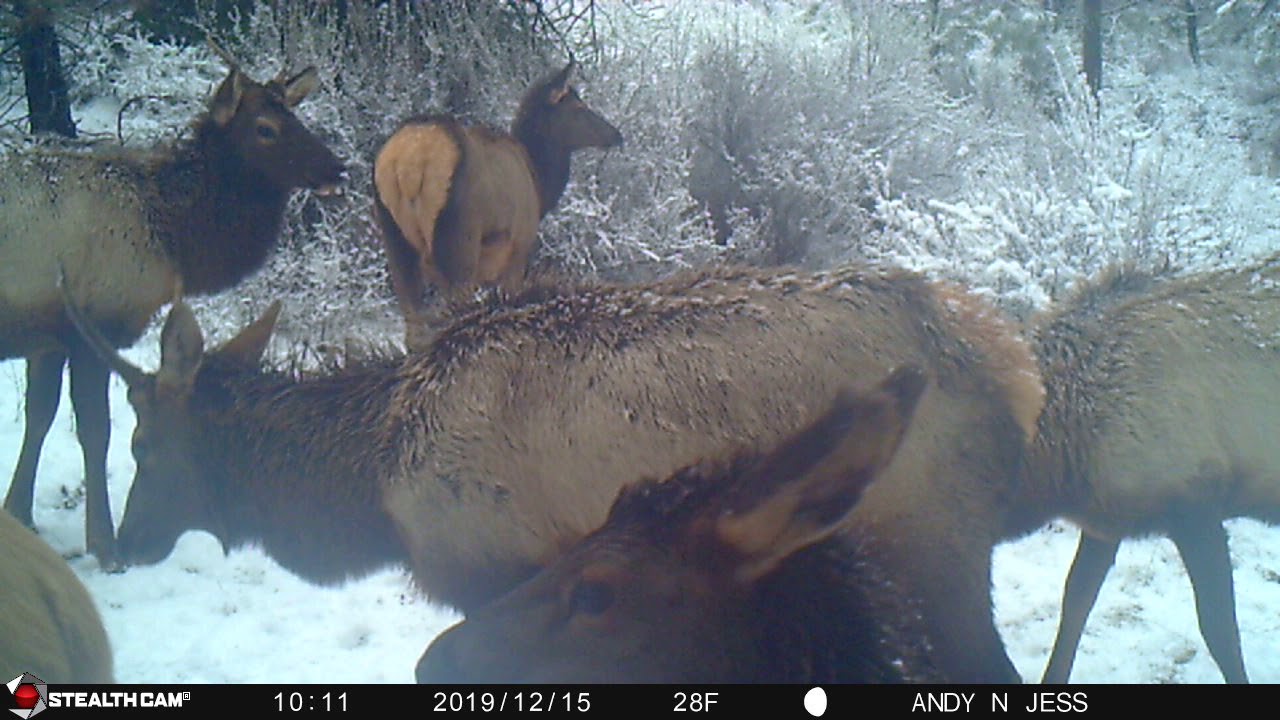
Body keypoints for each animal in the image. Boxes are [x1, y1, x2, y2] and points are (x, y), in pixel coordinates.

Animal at [1, 45, 345, 570]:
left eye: (296, 115)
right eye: (265, 128)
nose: (336, 167)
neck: (173, 238)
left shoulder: (48, 334)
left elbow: (39, 414)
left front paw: (19, 514)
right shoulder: (92, 322)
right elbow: (95, 432)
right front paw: (106, 548)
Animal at [372, 61, 623, 349]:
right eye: (579, 107)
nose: (617, 135)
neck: (540, 185)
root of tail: (409, 164)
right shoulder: (517, 254)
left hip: (394, 239)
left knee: (413, 329)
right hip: (459, 243)